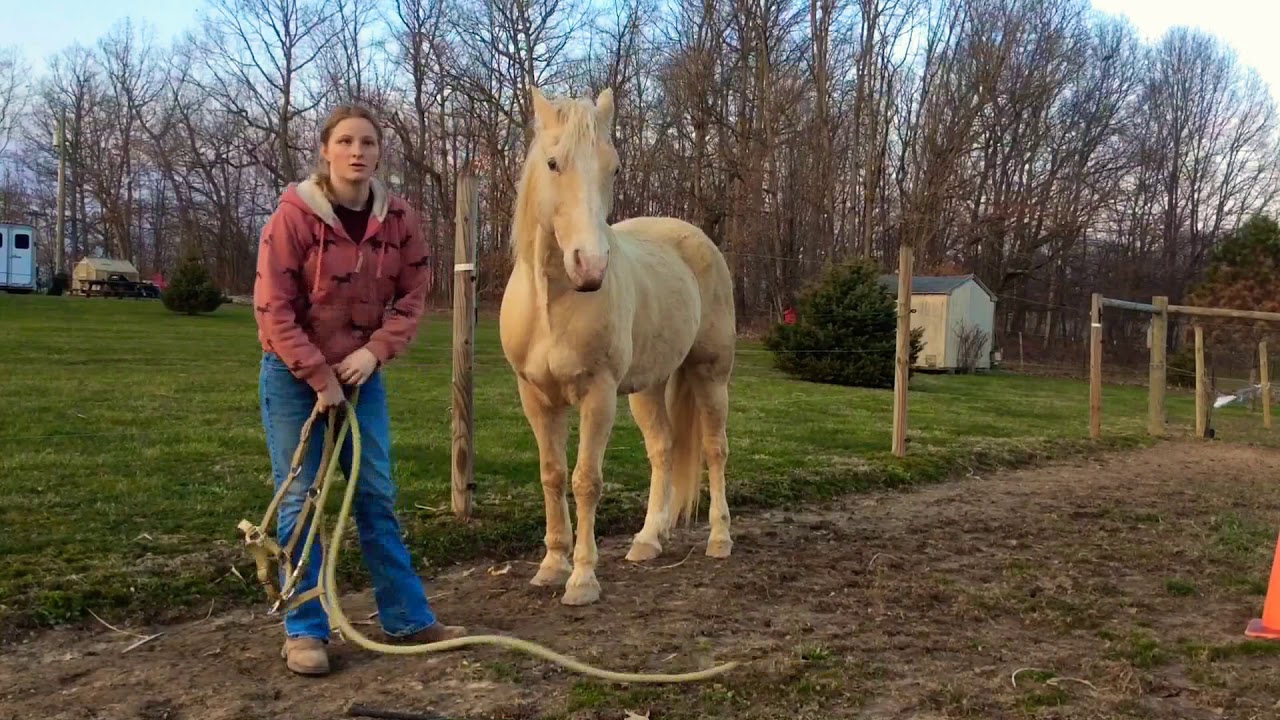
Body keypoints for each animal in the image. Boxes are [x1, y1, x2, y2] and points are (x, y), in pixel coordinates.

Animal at [498, 86, 738, 606]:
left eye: (613, 168)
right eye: (553, 163)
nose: (590, 268)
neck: (553, 304)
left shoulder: (598, 395)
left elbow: (586, 480)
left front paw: (582, 578)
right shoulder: (535, 397)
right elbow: (551, 475)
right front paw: (551, 565)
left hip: (710, 375)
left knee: (714, 450)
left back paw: (719, 538)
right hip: (648, 388)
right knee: (664, 449)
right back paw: (648, 539)